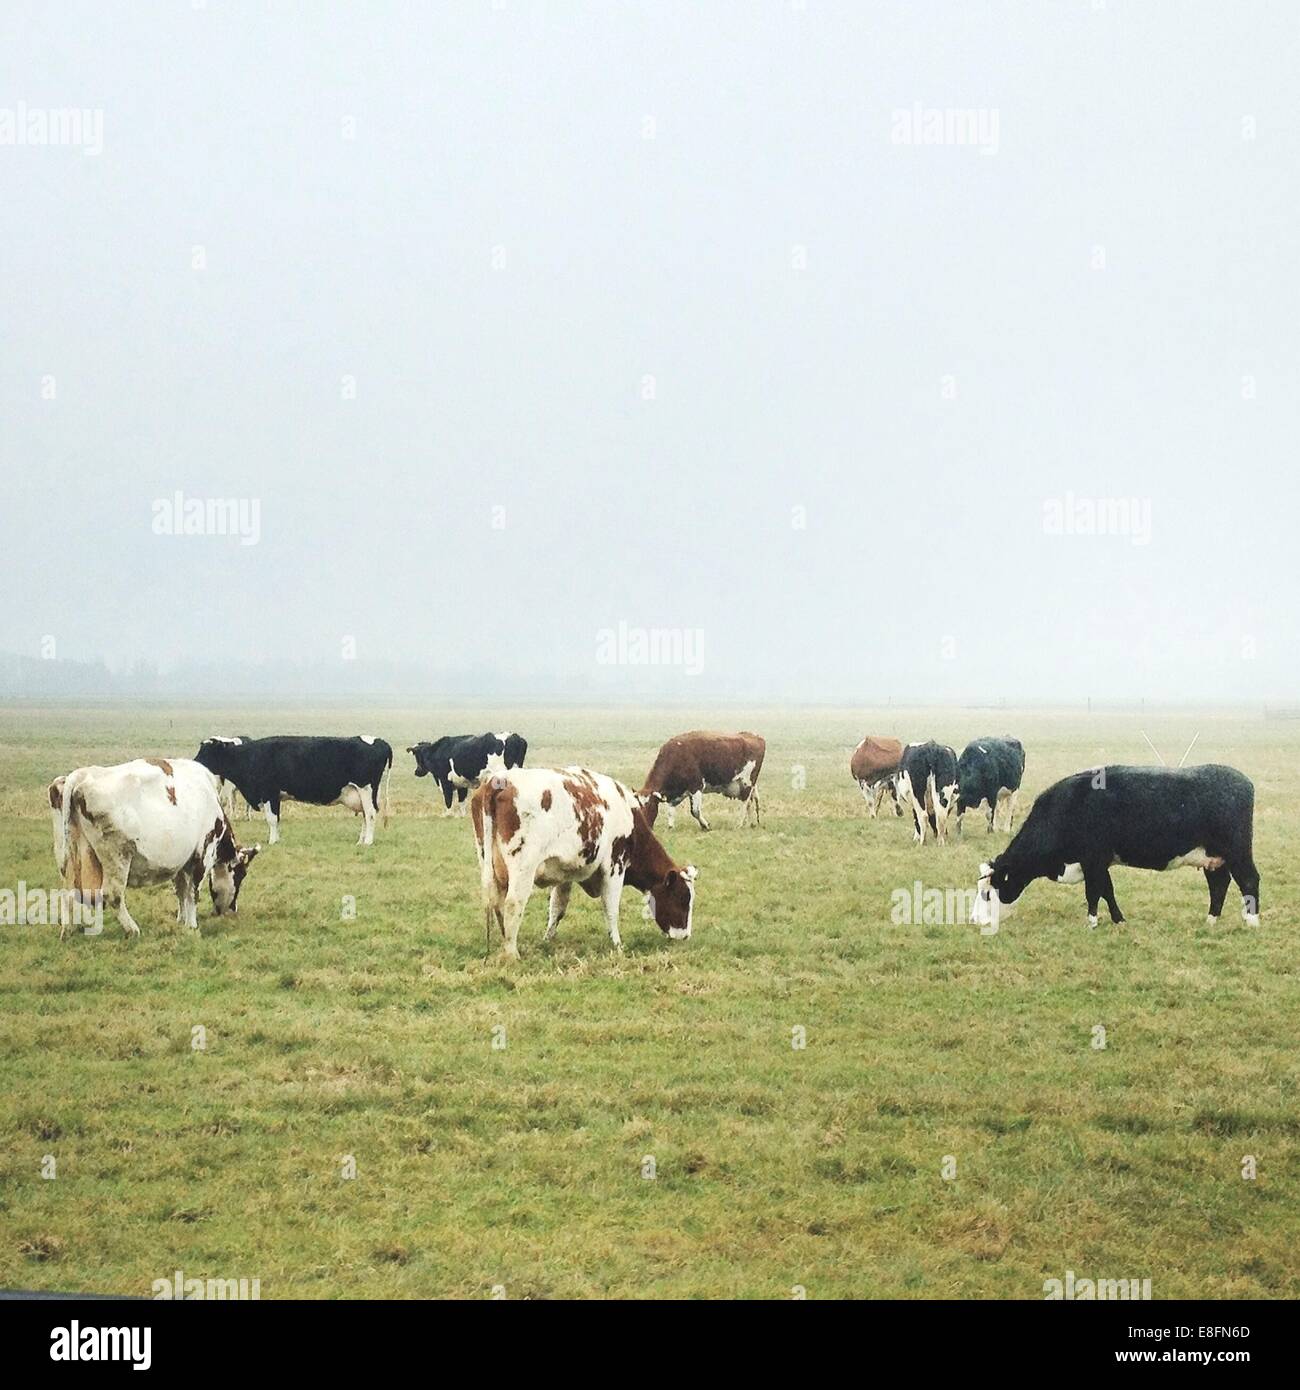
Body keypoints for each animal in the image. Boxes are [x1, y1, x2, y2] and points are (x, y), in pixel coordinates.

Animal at [47, 759, 260, 939]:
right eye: (241, 875)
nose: (232, 910)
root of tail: (81, 775)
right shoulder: (203, 853)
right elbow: (193, 892)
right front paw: (192, 924)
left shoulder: (181, 863)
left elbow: (181, 891)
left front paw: (181, 920)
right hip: (117, 857)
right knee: (112, 894)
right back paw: (132, 929)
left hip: (69, 858)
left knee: (68, 892)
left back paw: (69, 930)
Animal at [193, 735, 393, 845]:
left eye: (207, 751)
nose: (194, 762)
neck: (250, 756)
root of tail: (379, 741)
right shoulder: (275, 796)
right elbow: (277, 819)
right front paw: (277, 839)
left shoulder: (269, 793)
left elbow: (272, 819)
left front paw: (272, 841)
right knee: (366, 815)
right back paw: (361, 841)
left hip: (366, 789)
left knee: (370, 814)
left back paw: (368, 842)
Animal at [470, 767, 698, 959]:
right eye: (682, 898)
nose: (685, 936)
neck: (627, 813)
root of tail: (499, 781)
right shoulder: (615, 866)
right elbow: (611, 908)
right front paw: (617, 944)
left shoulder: (564, 873)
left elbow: (557, 907)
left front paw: (547, 939)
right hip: (523, 869)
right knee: (512, 903)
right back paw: (511, 954)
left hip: (489, 865)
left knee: (497, 904)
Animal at [971, 764, 1260, 931]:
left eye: (987, 894)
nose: (973, 920)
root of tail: (1242, 780)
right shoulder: (1099, 863)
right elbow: (1107, 891)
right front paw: (1118, 919)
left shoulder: (1093, 860)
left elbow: (1093, 893)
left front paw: (1092, 922)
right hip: (1214, 858)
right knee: (1219, 884)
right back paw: (1211, 920)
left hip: (1238, 851)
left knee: (1249, 880)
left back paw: (1252, 922)